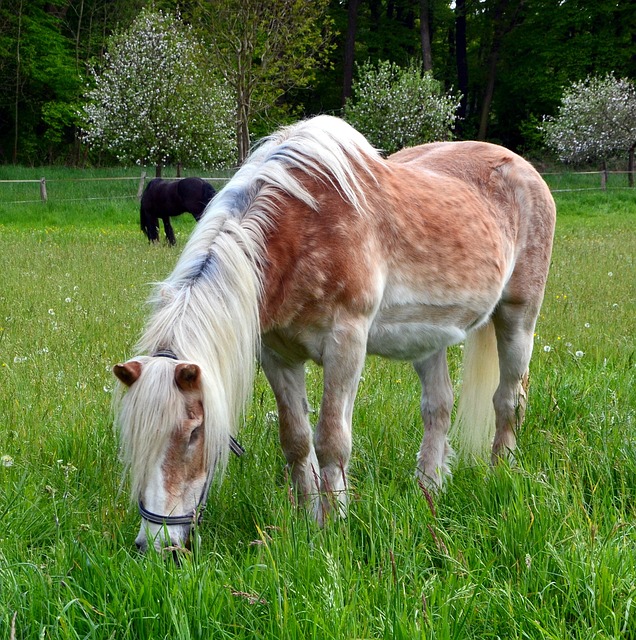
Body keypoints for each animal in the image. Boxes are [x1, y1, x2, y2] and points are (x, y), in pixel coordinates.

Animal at [113, 115, 556, 552]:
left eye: (193, 433)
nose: (155, 544)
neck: (299, 229)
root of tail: (524, 169)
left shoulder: (346, 344)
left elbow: (330, 439)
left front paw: (334, 525)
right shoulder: (278, 357)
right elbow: (295, 440)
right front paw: (308, 520)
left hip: (519, 317)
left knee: (508, 400)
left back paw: (500, 473)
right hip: (429, 338)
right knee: (439, 408)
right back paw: (427, 490)